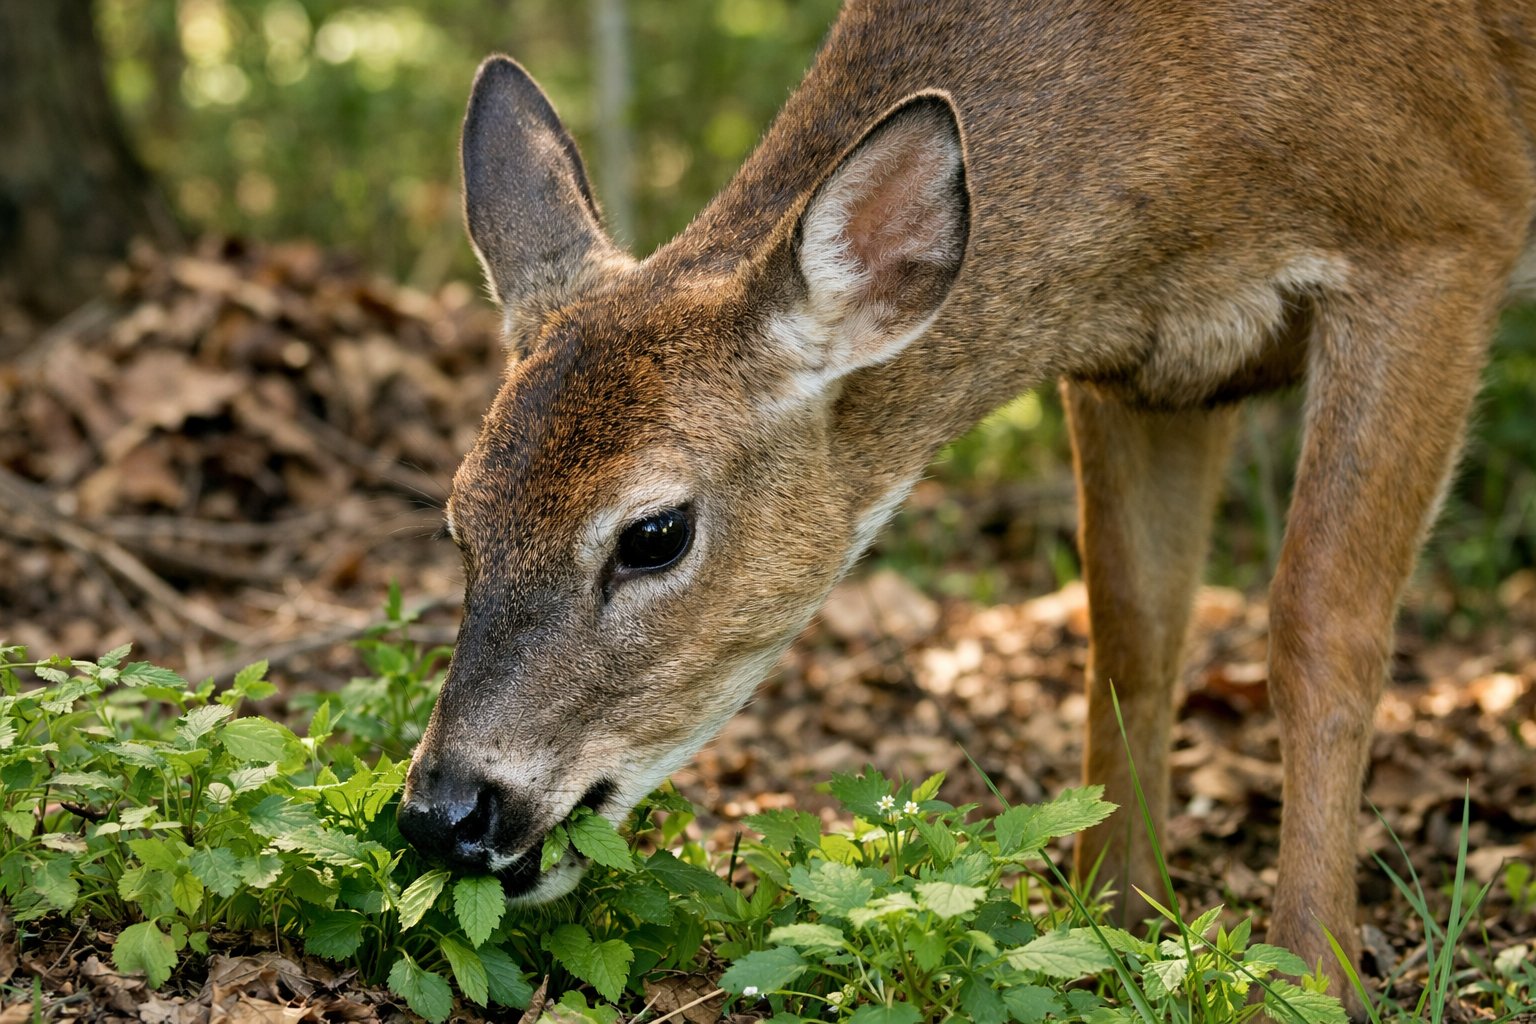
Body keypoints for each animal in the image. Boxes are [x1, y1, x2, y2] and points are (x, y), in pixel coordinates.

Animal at [394, 0, 1536, 1008]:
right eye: (459, 521)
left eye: (655, 533)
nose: (445, 811)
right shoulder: (1152, 363)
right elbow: (1131, 628)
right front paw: (1113, 920)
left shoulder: (1439, 228)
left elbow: (1318, 625)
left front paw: (1309, 975)